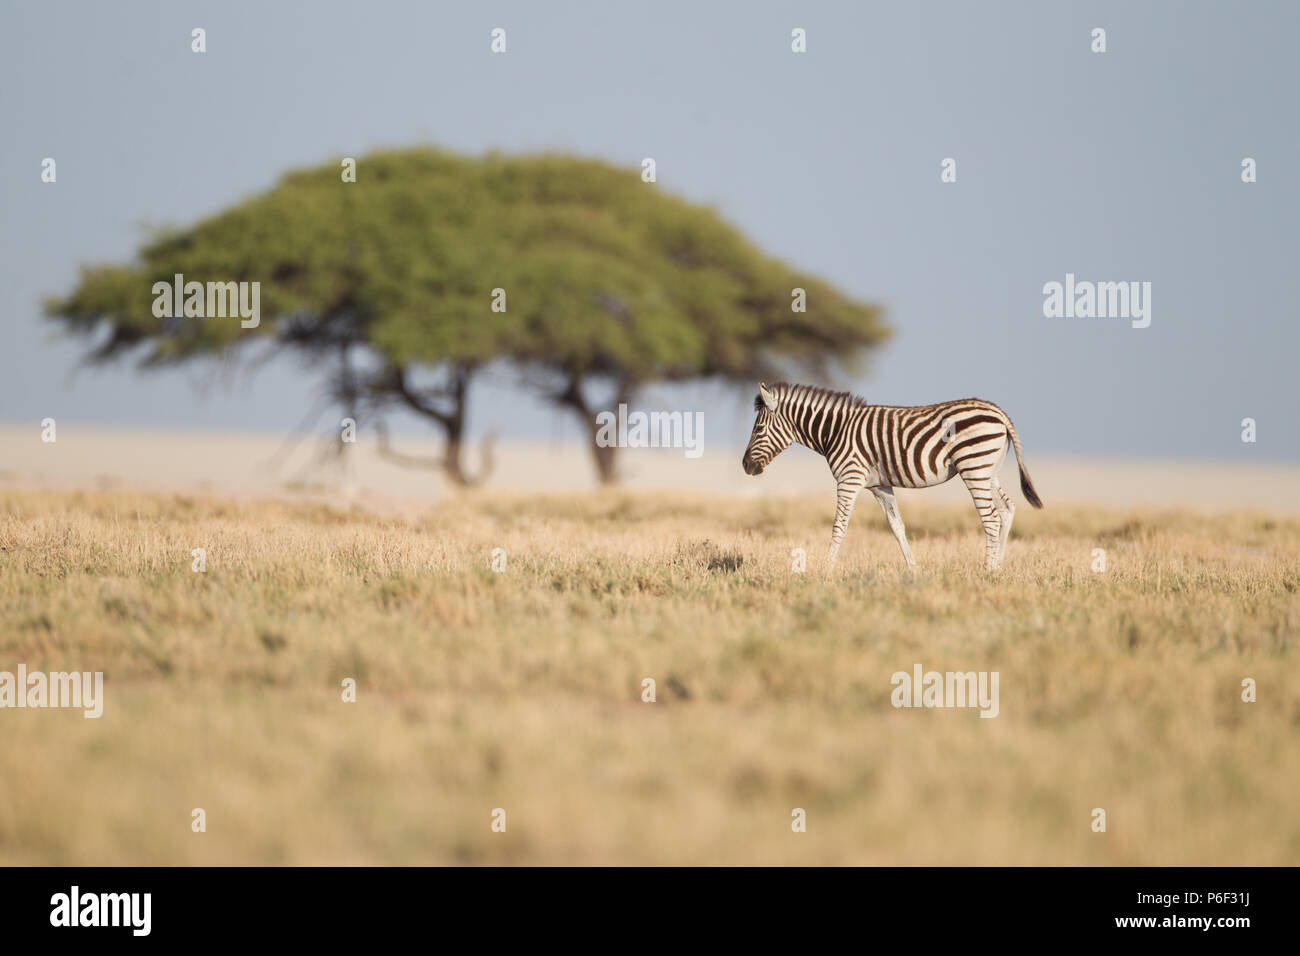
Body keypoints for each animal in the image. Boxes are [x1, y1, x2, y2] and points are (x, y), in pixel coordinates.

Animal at [741, 382, 1043, 571]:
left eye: (757, 430)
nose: (745, 466)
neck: (836, 431)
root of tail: (999, 412)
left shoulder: (849, 478)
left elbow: (839, 527)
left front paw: (824, 571)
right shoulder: (880, 485)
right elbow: (897, 526)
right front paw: (913, 569)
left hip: (974, 467)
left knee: (991, 518)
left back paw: (986, 571)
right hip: (988, 471)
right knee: (1007, 510)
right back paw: (998, 569)